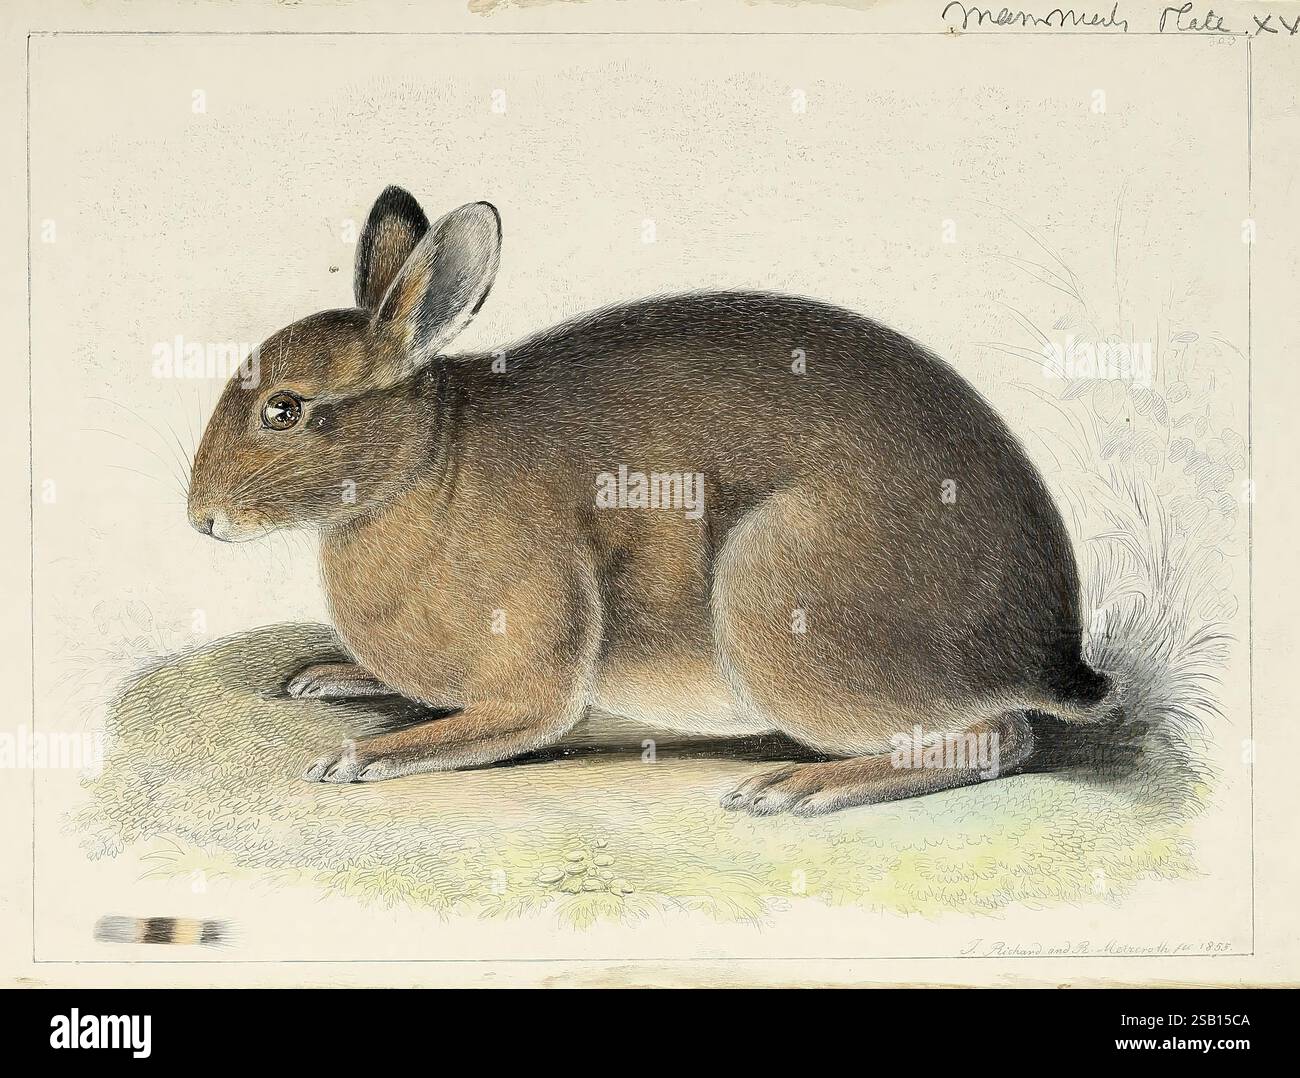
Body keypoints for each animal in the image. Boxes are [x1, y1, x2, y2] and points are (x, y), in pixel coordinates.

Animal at [187, 185, 1113, 817]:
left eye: (285, 409)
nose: (200, 518)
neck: (426, 464)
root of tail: (1050, 651)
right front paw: (322, 675)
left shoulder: (534, 669)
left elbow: (501, 721)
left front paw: (357, 757)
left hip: (781, 599)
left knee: (996, 736)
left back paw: (793, 786)